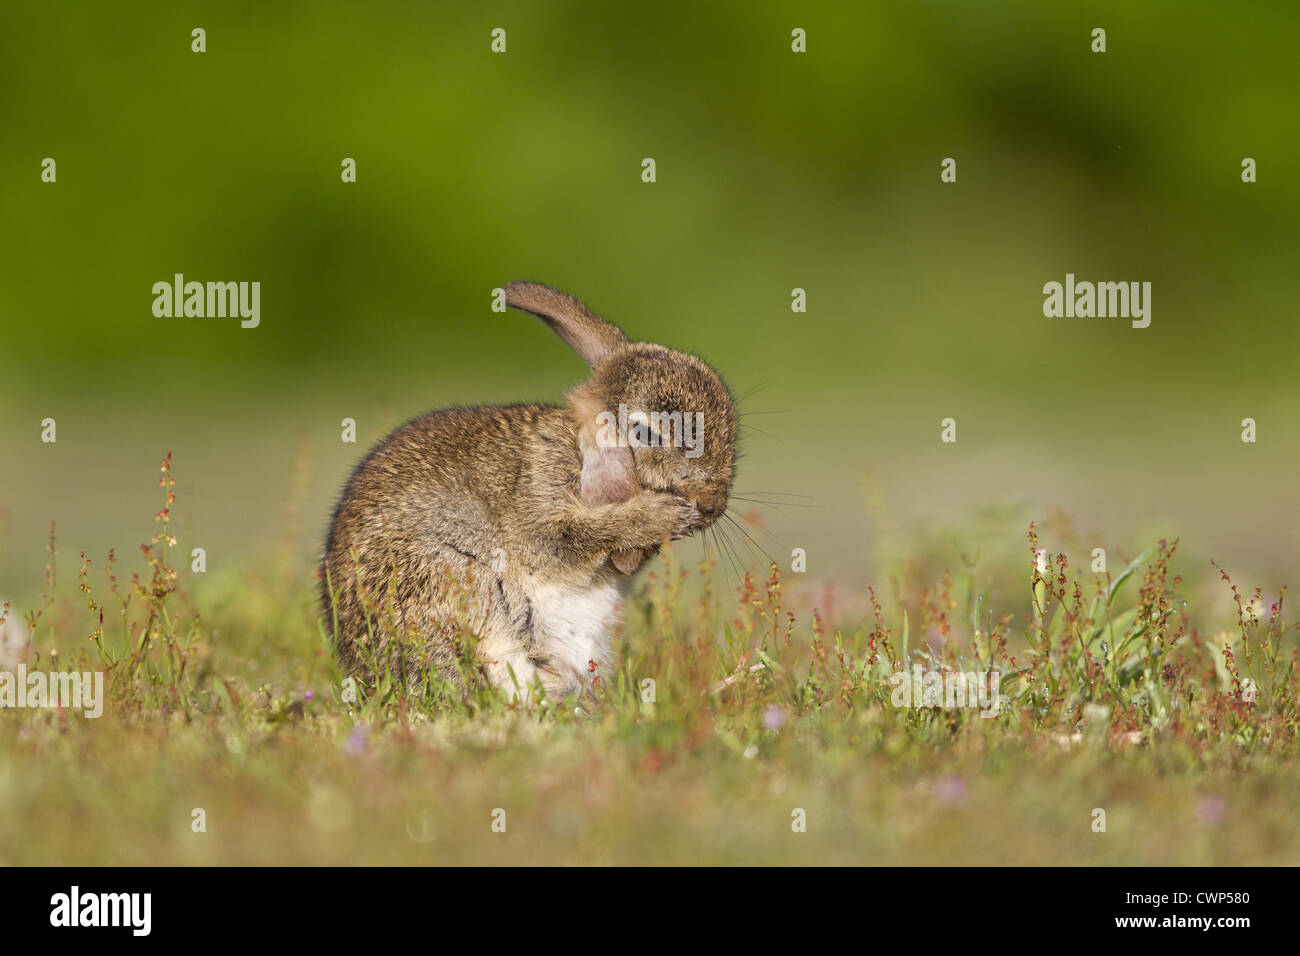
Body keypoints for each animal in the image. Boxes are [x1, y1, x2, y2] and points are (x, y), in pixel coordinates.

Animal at [320, 281, 737, 701]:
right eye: (645, 433)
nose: (712, 504)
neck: (577, 448)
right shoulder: (540, 509)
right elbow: (570, 538)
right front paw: (661, 515)